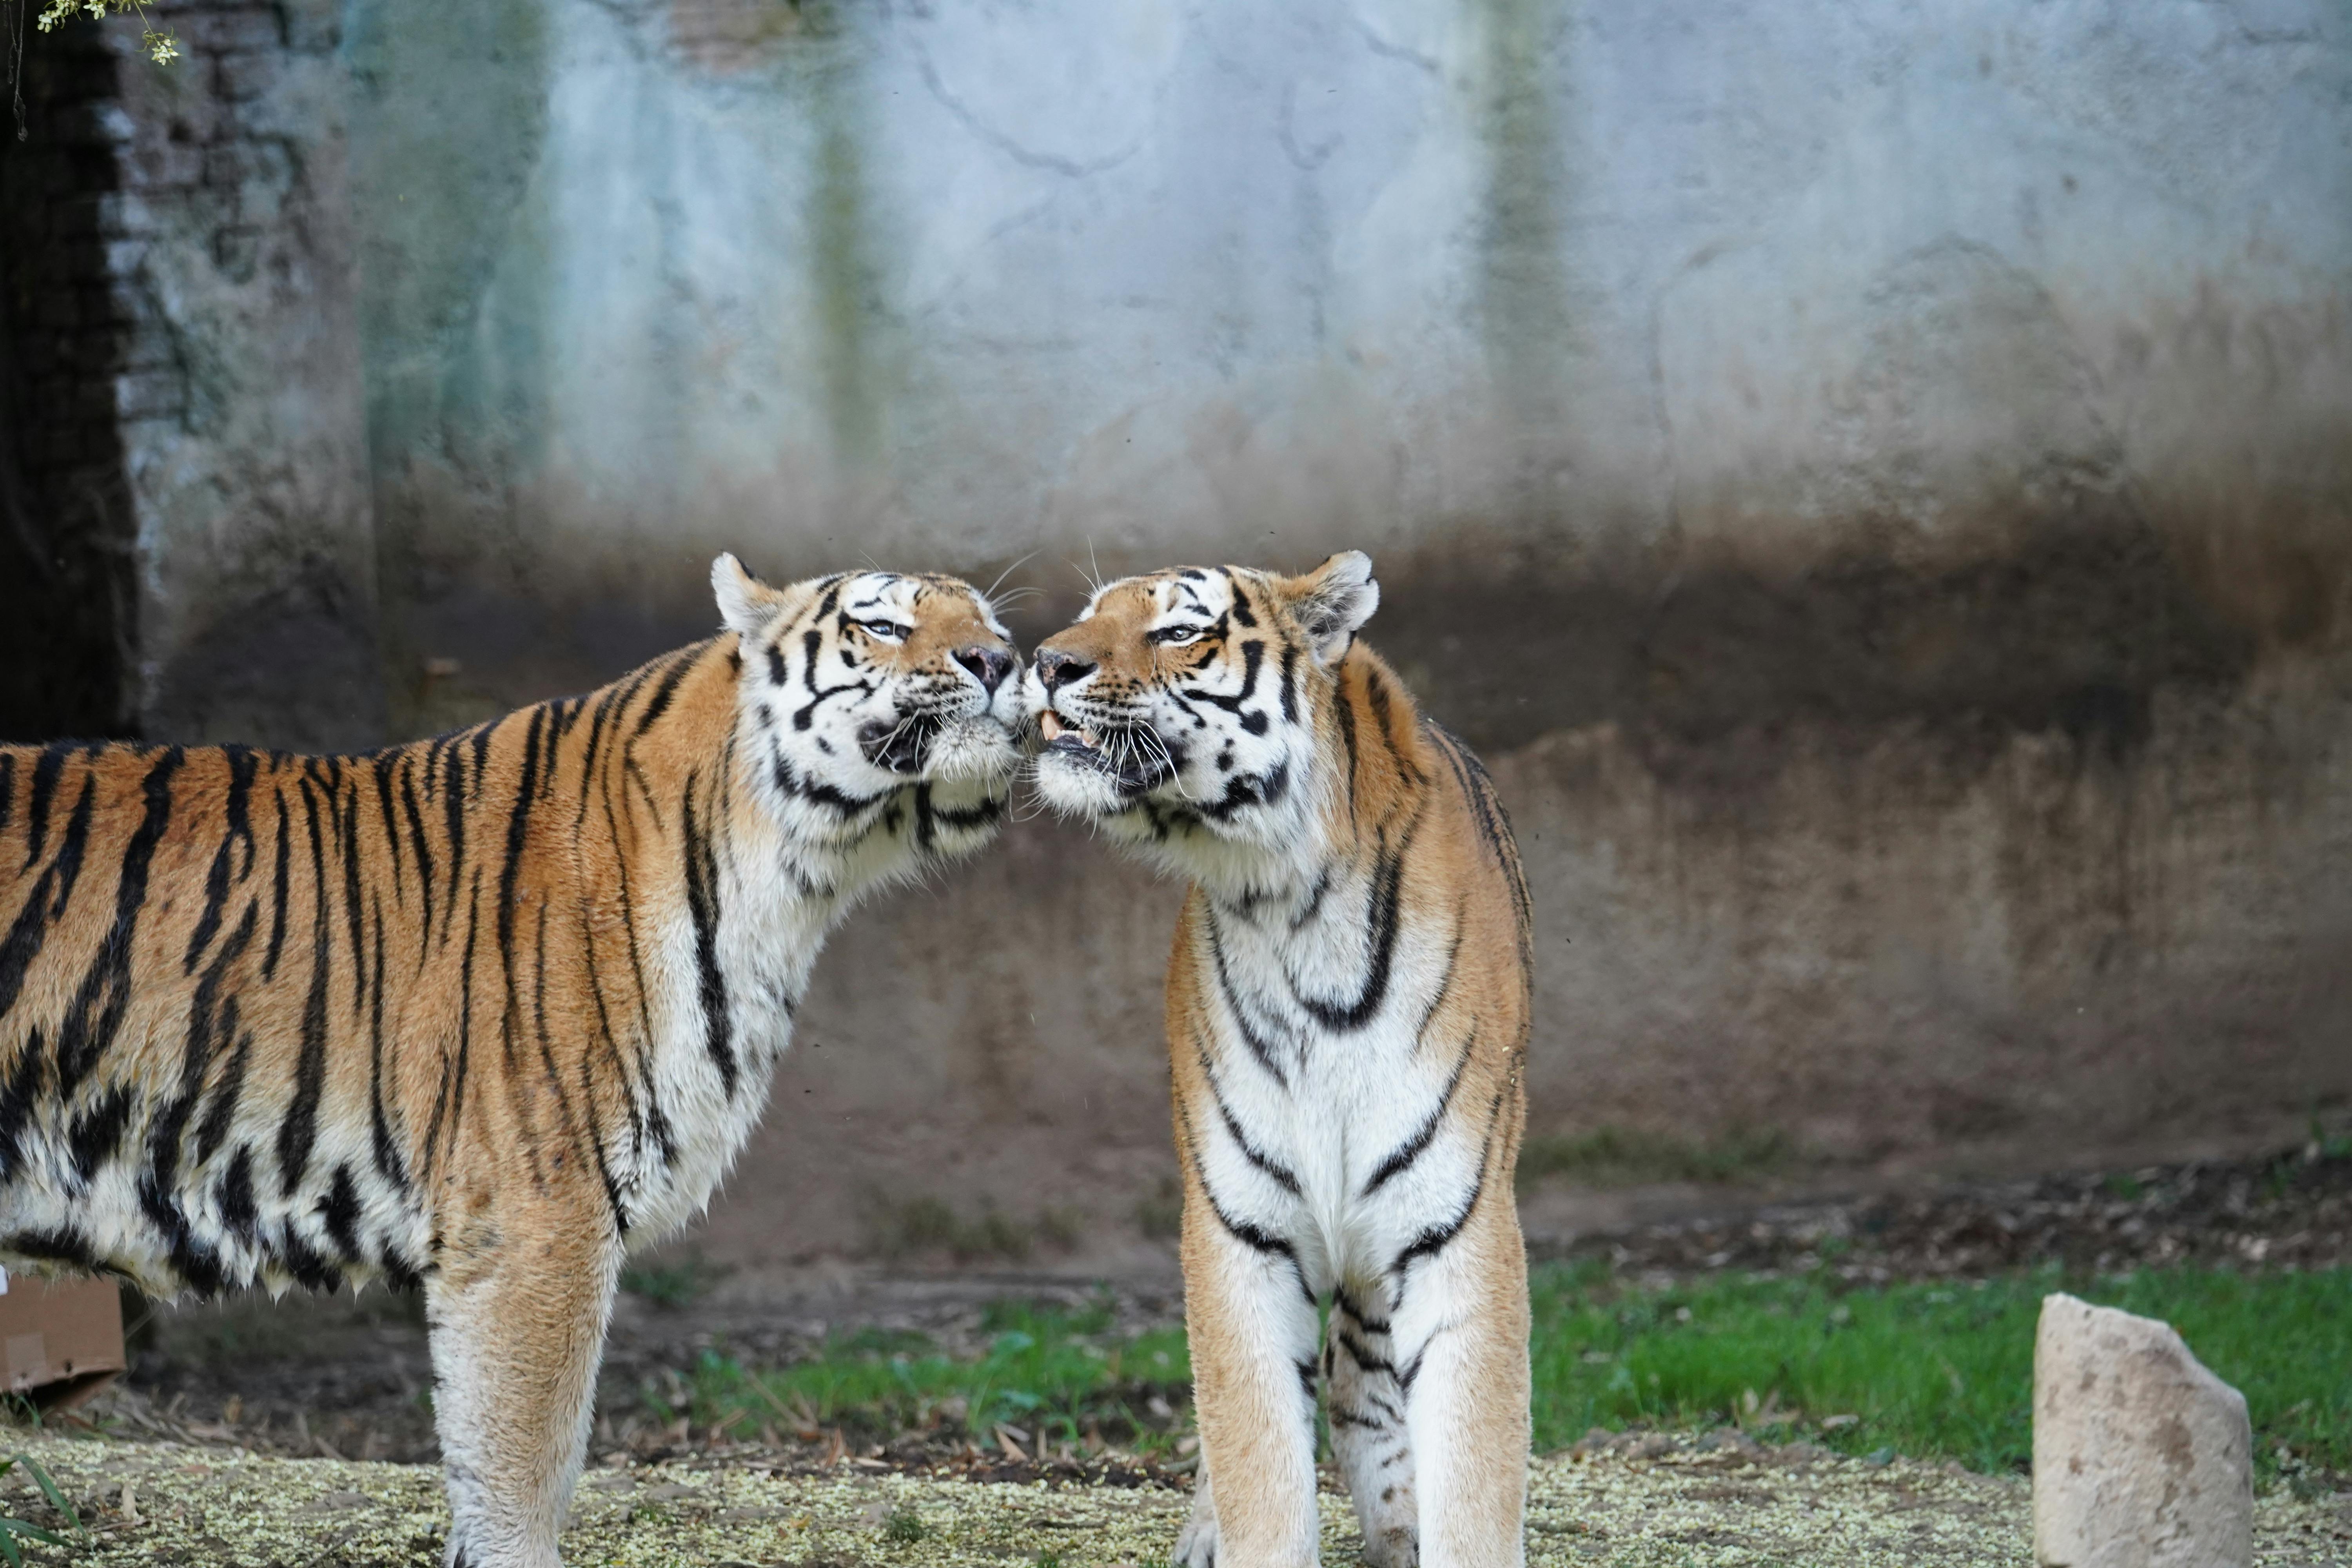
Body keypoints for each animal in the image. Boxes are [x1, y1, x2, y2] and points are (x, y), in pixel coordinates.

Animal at [0, 555, 1022, 1568]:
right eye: (883, 625)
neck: (792, 876)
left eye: (995, 626)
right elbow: (526, 1459)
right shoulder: (538, 1218)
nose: (1002, 662)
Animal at [1026, 552, 1534, 1568]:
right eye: (1086, 614)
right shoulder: (1240, 1226)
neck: (1291, 903)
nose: (1045, 661)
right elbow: (1256, 1447)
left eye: (1180, 629)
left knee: (1362, 1381)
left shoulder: (1457, 1224)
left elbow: (1474, 1468)